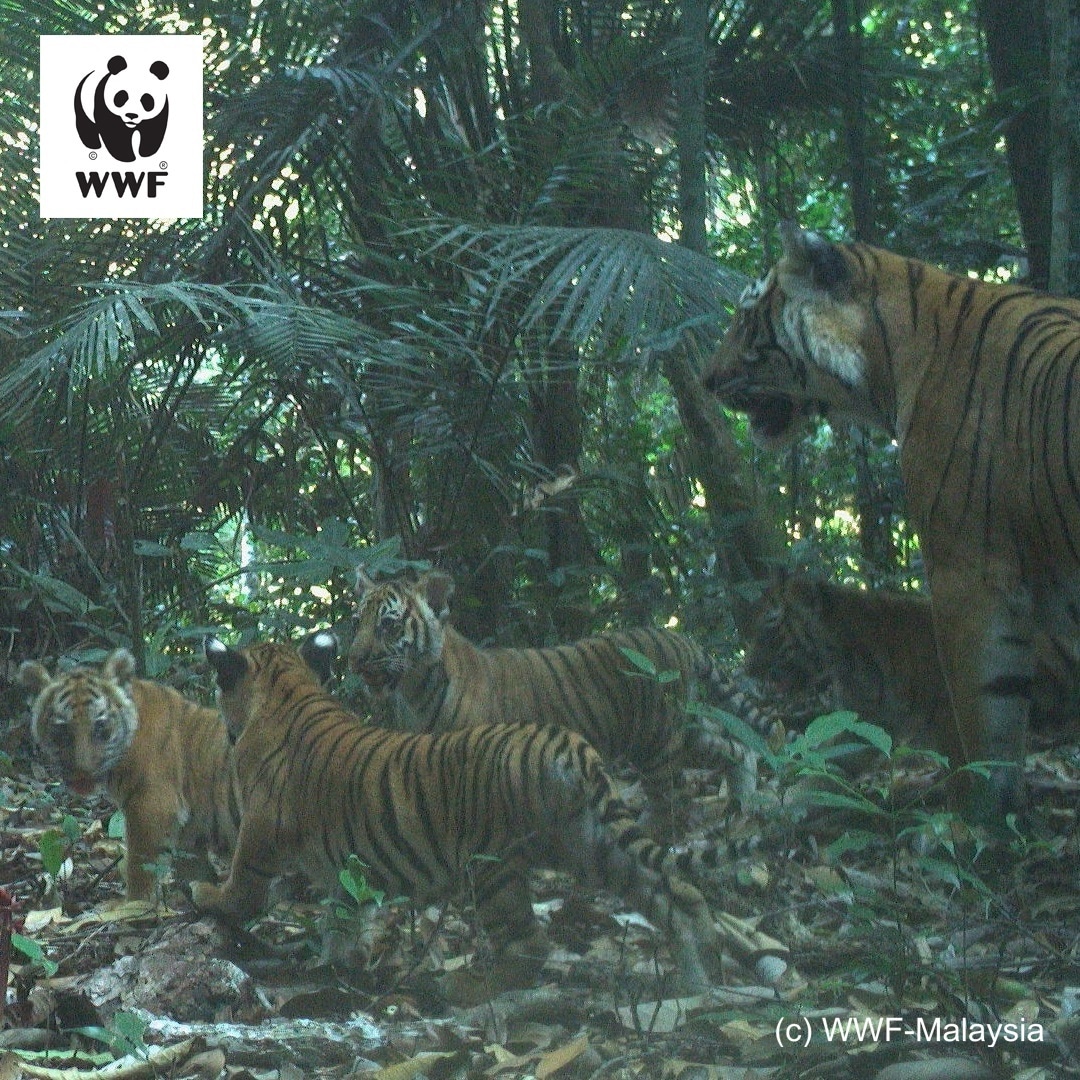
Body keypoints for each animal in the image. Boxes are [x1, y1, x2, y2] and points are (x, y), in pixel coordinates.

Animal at [18, 649, 241, 900]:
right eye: (62, 730)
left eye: (100, 726)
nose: (83, 772)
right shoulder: (189, 835)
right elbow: (196, 873)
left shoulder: (152, 808)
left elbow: (139, 868)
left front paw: (134, 904)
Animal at [192, 632, 737, 1000]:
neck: (286, 690)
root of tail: (569, 746)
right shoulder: (346, 865)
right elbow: (343, 913)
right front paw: (334, 963)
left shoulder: (259, 831)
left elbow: (243, 887)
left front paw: (207, 895)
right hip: (589, 843)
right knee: (672, 893)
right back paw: (698, 979)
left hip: (492, 867)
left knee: (528, 942)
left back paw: (470, 991)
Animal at [348, 569, 765, 837]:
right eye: (358, 623)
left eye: (388, 624)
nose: (354, 660)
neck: (414, 690)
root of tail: (680, 638)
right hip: (683, 729)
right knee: (734, 744)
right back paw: (744, 804)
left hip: (657, 741)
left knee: (668, 798)